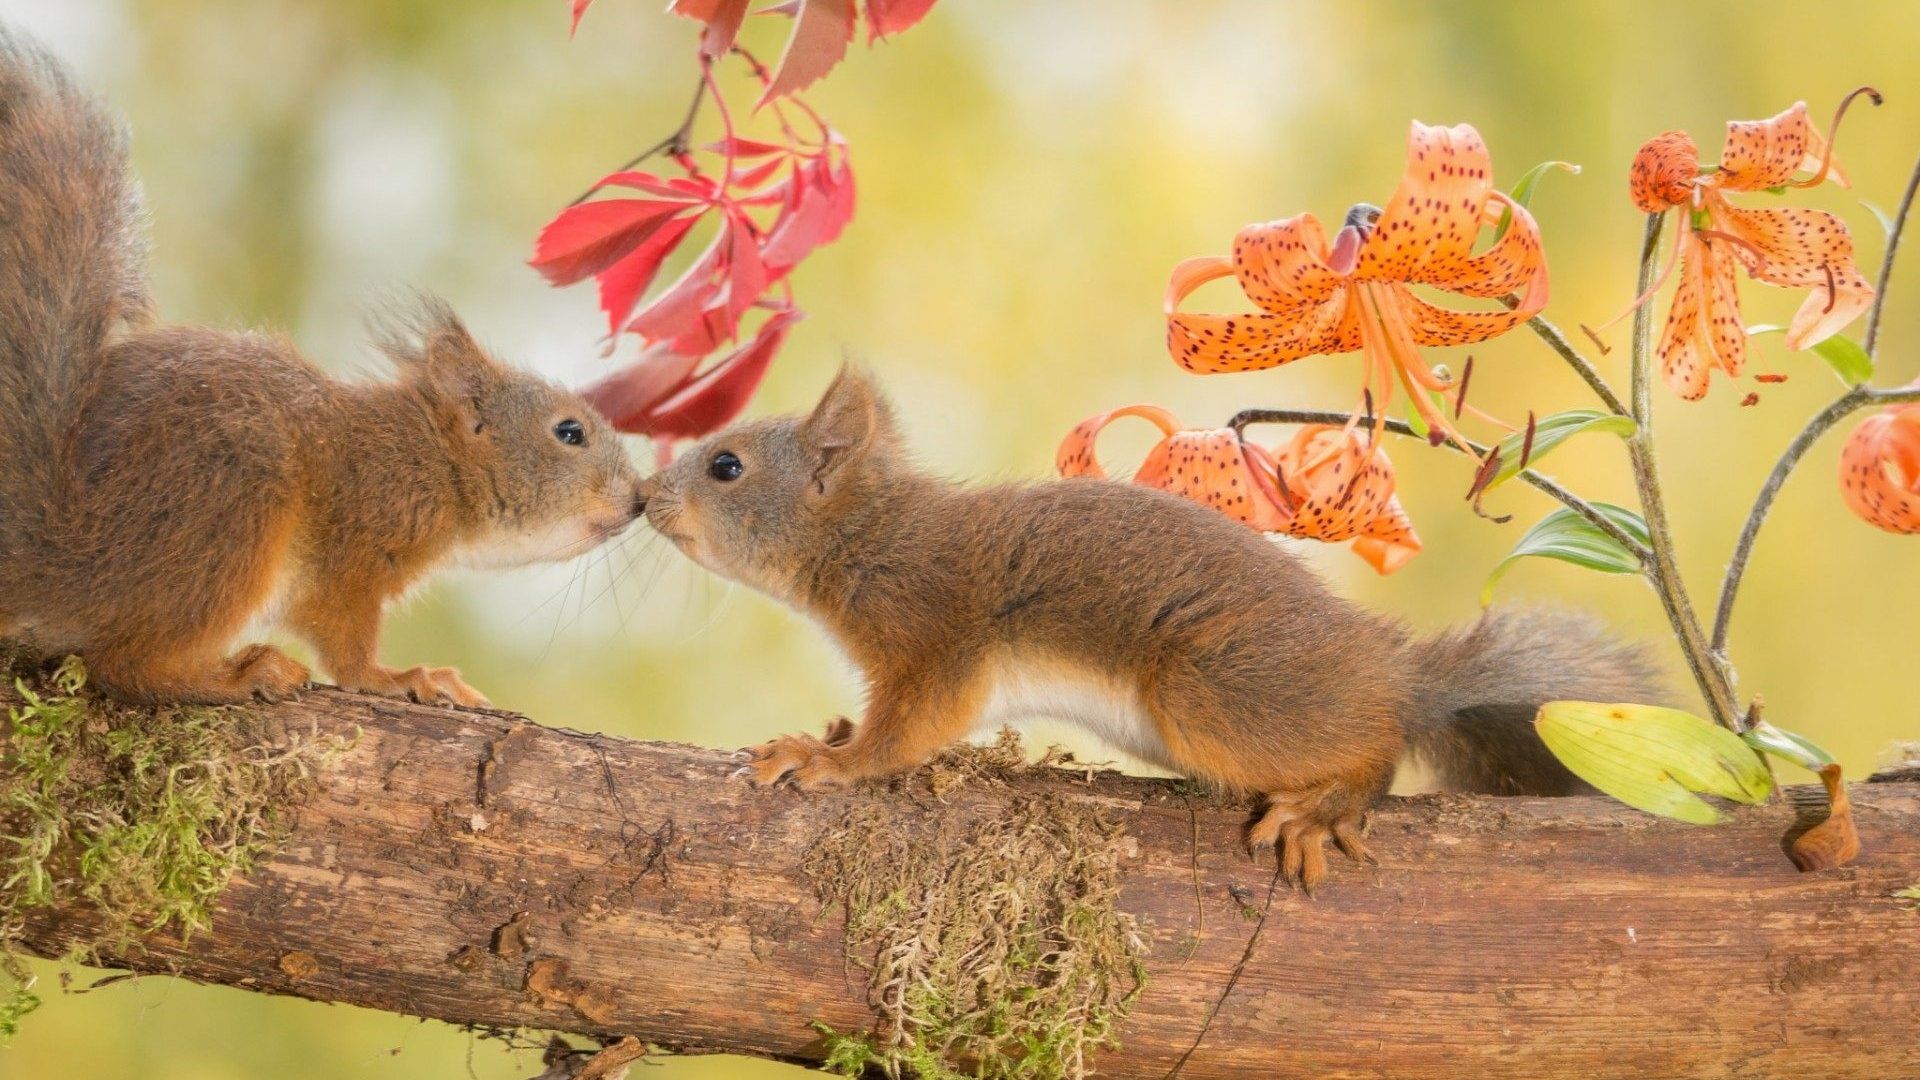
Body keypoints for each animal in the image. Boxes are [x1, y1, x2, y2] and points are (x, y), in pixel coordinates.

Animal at [0, 29, 644, 707]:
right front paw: (398, 678)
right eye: (569, 432)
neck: (431, 460)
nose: (638, 498)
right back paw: (241, 674)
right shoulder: (356, 546)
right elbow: (341, 635)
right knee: (122, 662)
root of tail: (57, 552)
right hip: (231, 516)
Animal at [640, 366, 1664, 889]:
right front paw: (834, 729)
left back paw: (1325, 805)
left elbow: (909, 732)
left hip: (1213, 692)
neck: (868, 534)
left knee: (1373, 748)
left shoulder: (935, 632)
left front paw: (826, 759)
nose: (645, 498)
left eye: (726, 466)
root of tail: (1396, 674)